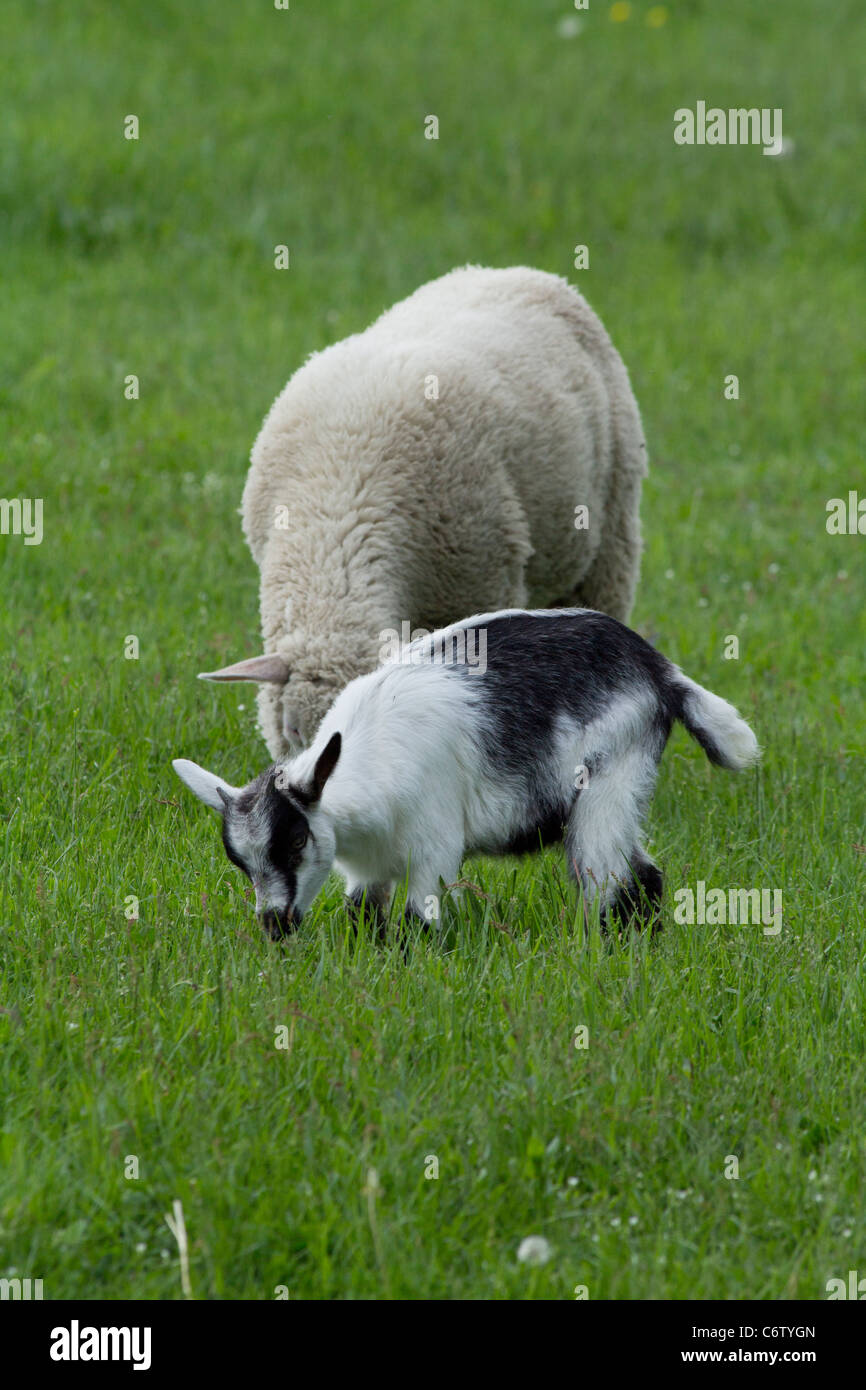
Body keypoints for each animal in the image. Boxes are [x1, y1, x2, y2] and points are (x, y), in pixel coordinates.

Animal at [173, 607, 759, 937]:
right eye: (239, 861)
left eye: (295, 841)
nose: (275, 925)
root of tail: (658, 670)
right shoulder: (367, 870)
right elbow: (364, 917)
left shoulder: (434, 846)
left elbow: (420, 922)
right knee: (645, 876)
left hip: (611, 775)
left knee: (607, 881)